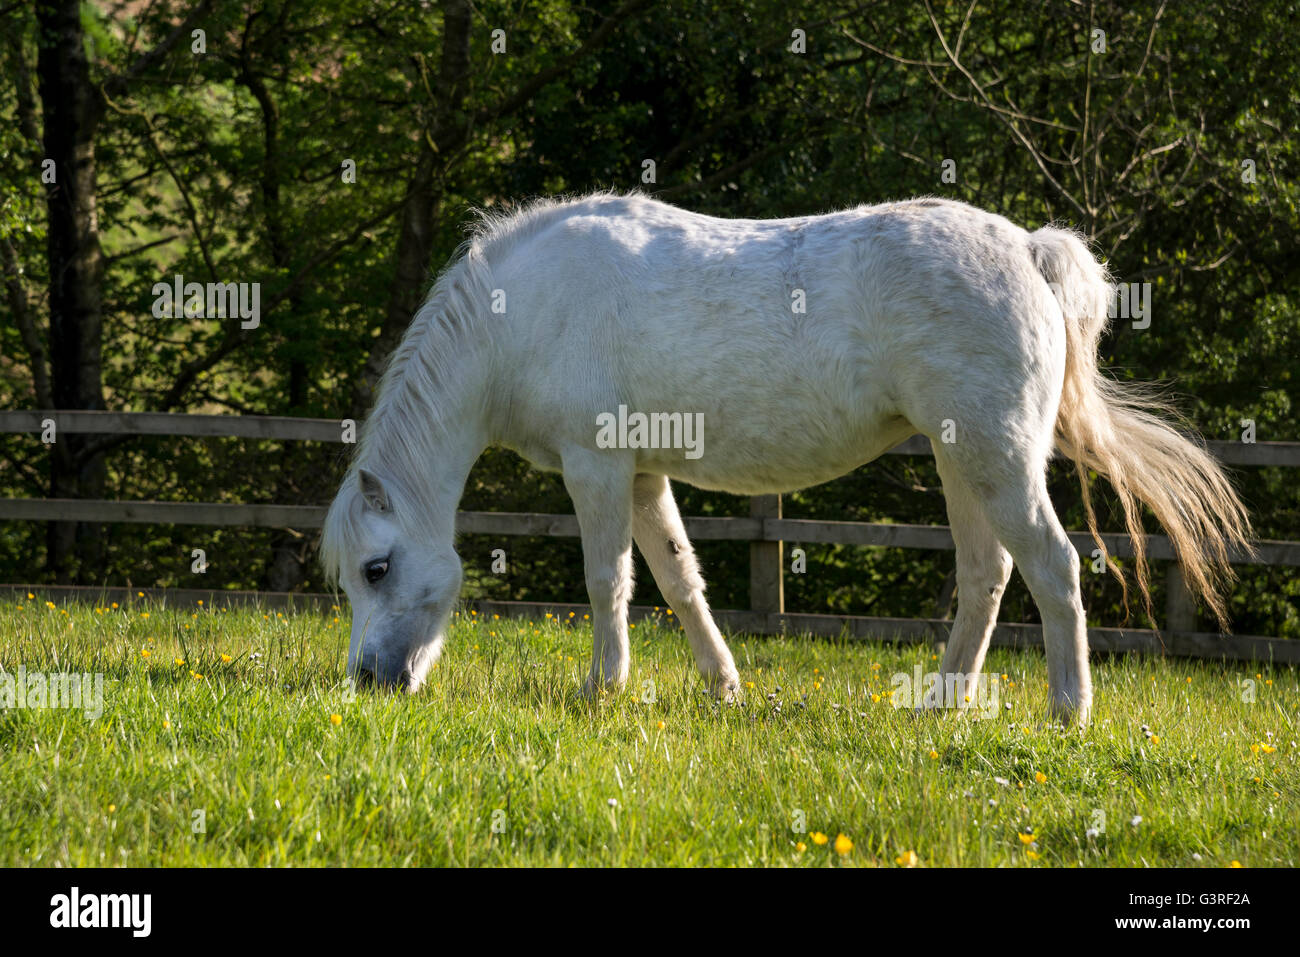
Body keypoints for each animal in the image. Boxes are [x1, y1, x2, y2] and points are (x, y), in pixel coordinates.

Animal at [321, 191, 1251, 726]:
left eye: (375, 568)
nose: (367, 681)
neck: (521, 312)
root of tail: (1028, 248)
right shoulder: (645, 473)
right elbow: (679, 579)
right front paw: (722, 685)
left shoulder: (598, 466)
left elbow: (607, 581)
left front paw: (602, 689)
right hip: (963, 458)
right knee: (988, 573)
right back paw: (943, 704)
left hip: (1002, 457)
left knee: (1053, 568)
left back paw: (1069, 714)